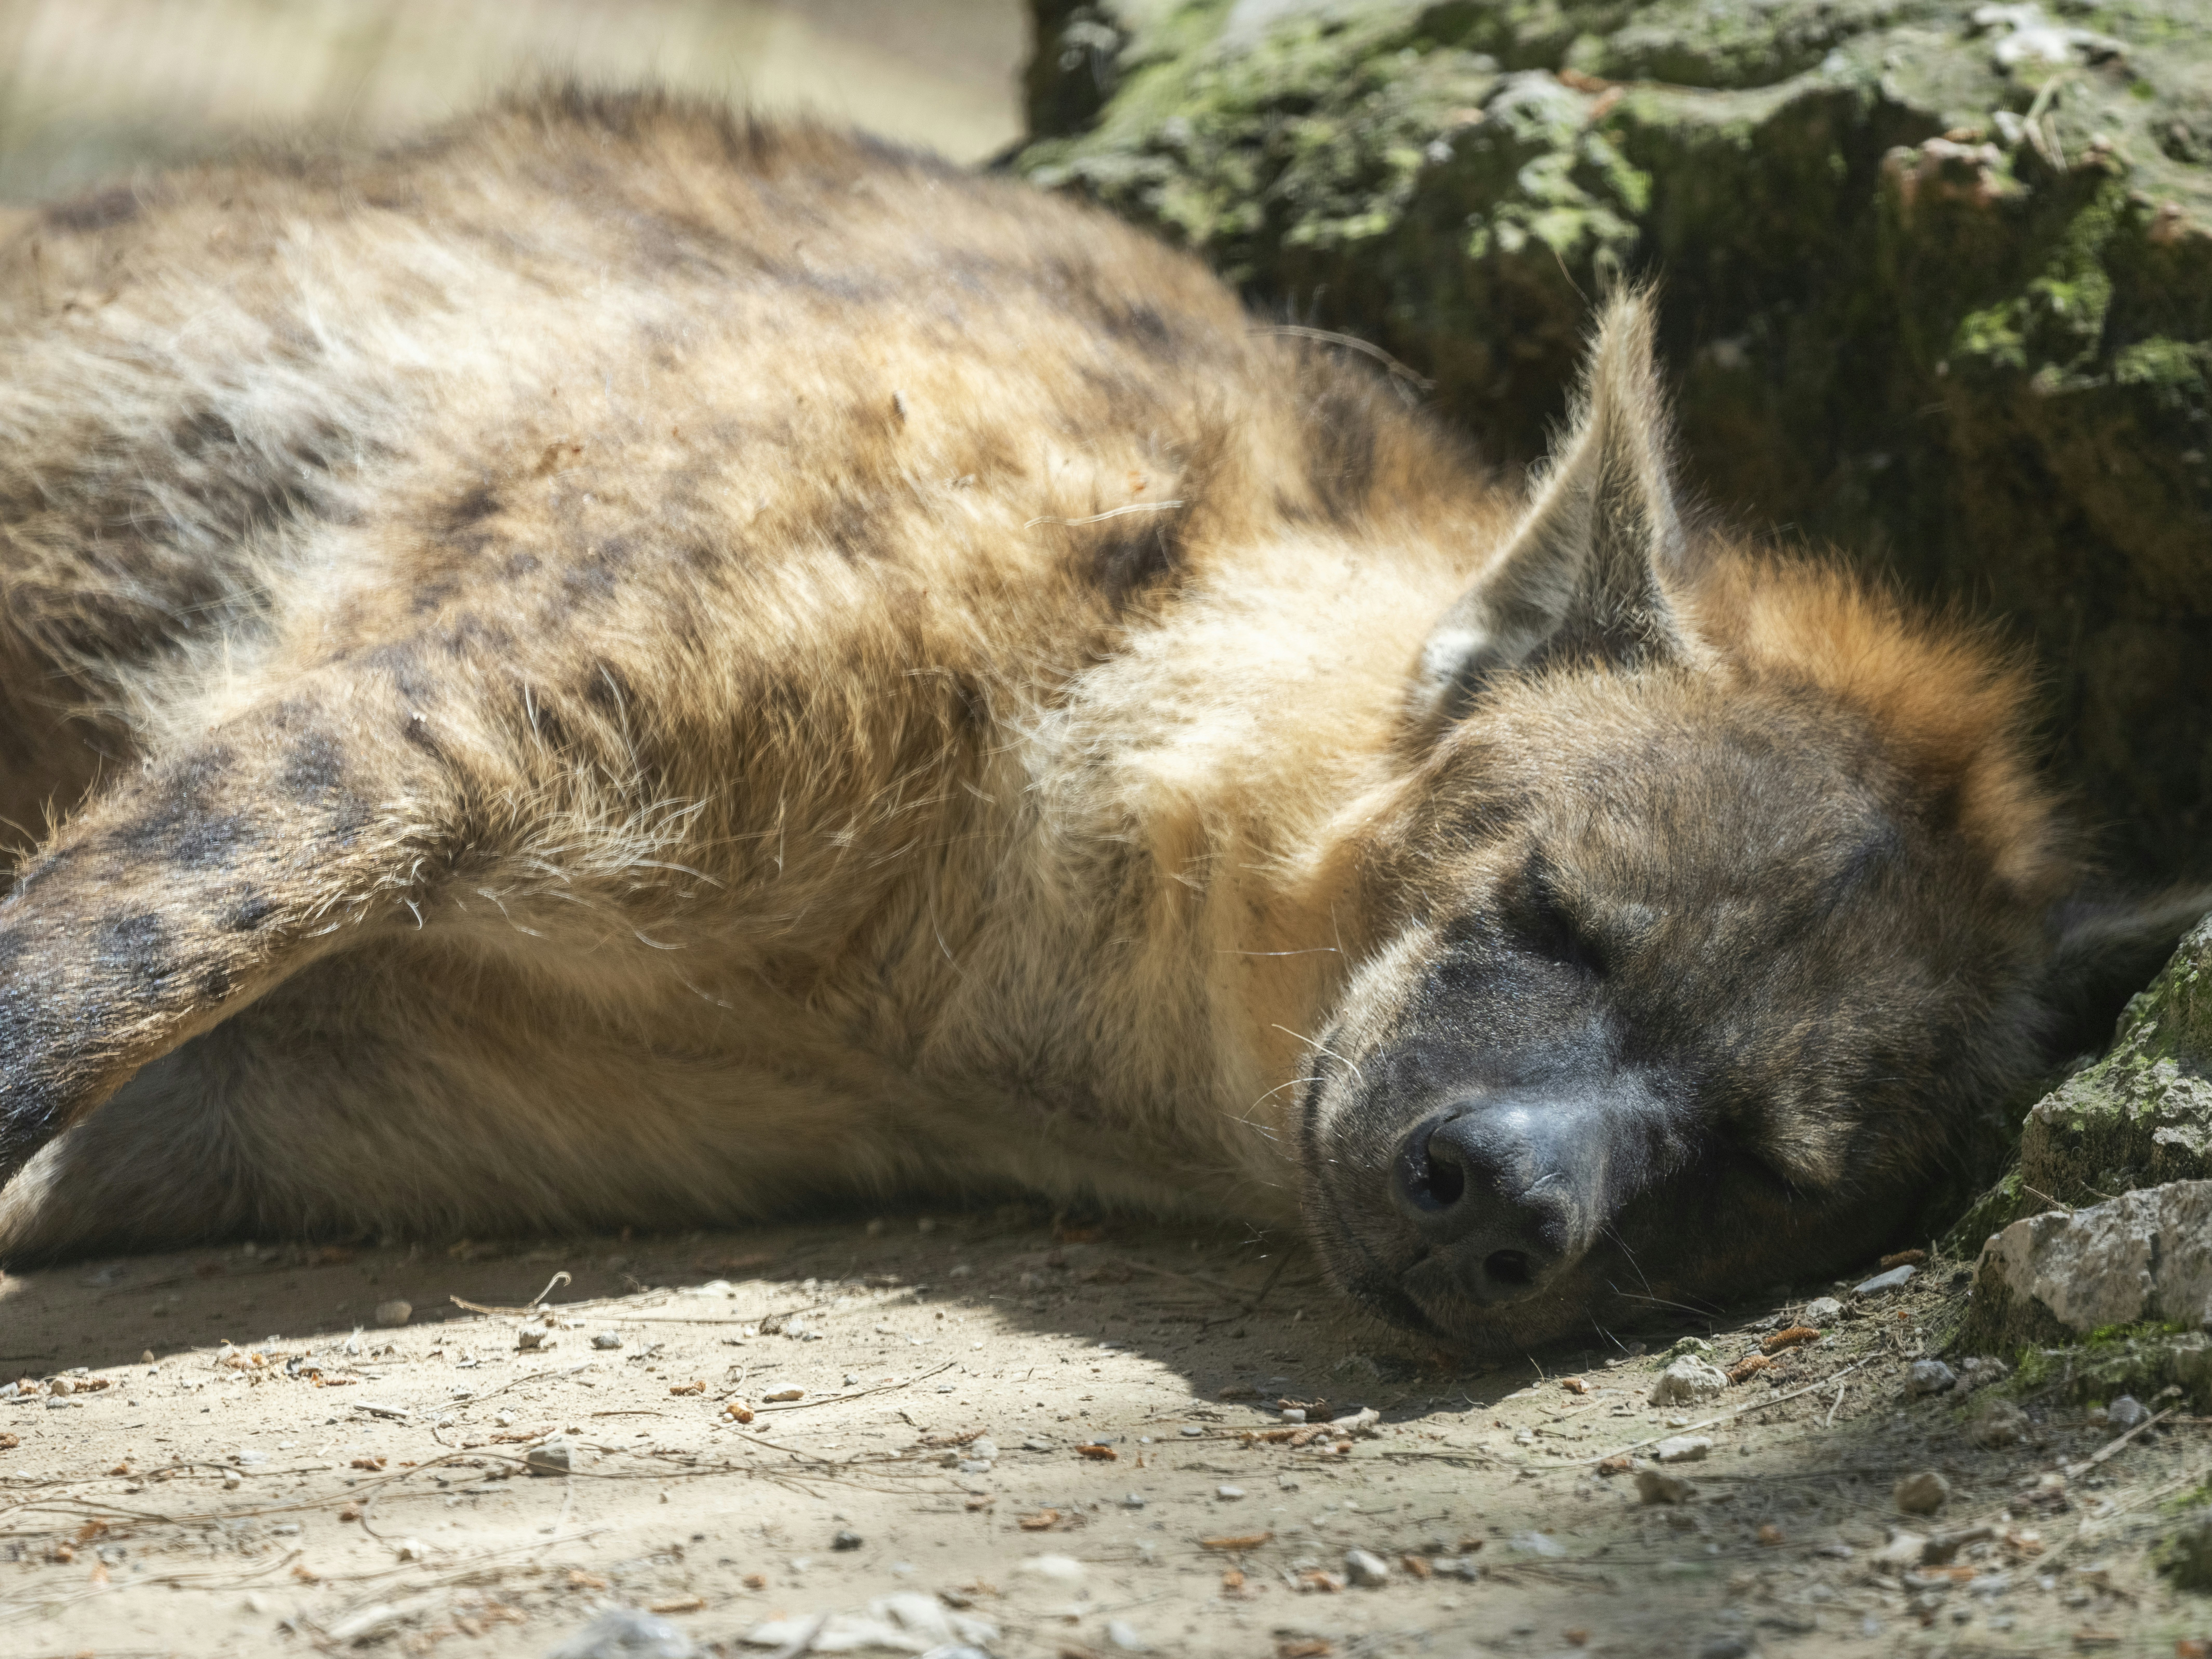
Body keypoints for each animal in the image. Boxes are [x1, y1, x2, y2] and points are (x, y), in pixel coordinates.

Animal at [0, 91, 2182, 1352]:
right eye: (1550, 910)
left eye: (1763, 1162)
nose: (1504, 1196)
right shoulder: (502, 676)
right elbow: (108, 953)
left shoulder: (364, 1099)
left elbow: (102, 1109)